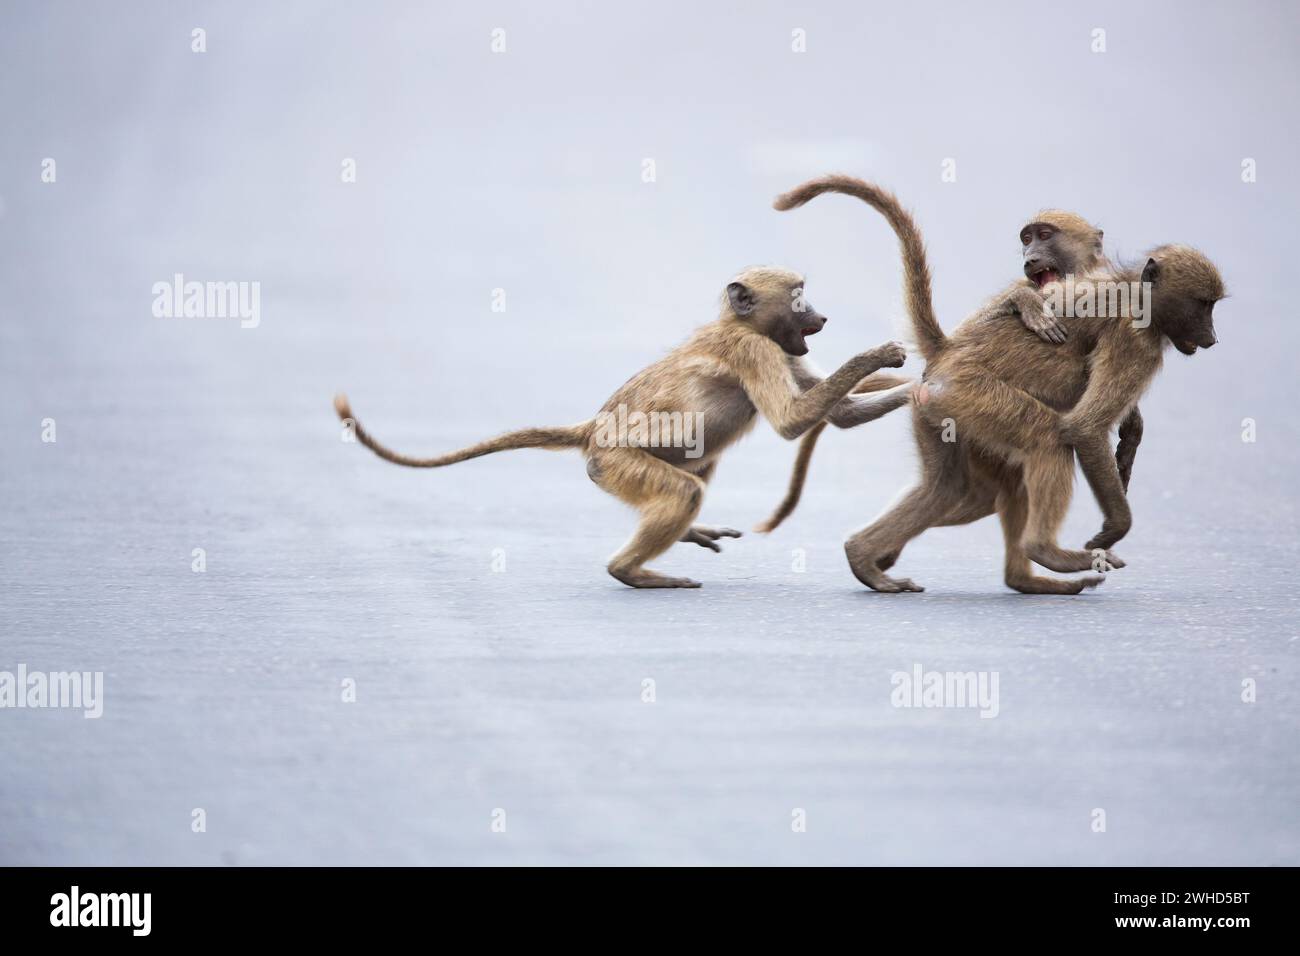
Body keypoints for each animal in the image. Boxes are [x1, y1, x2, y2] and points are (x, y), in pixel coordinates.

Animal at [334, 266, 912, 589]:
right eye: (798, 297)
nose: (821, 317)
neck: (737, 323)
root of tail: (593, 429)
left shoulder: (783, 351)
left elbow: (837, 414)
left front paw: (918, 389)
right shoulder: (755, 350)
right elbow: (793, 422)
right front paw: (882, 356)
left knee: (698, 472)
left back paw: (680, 537)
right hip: (614, 463)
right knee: (683, 489)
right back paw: (630, 572)